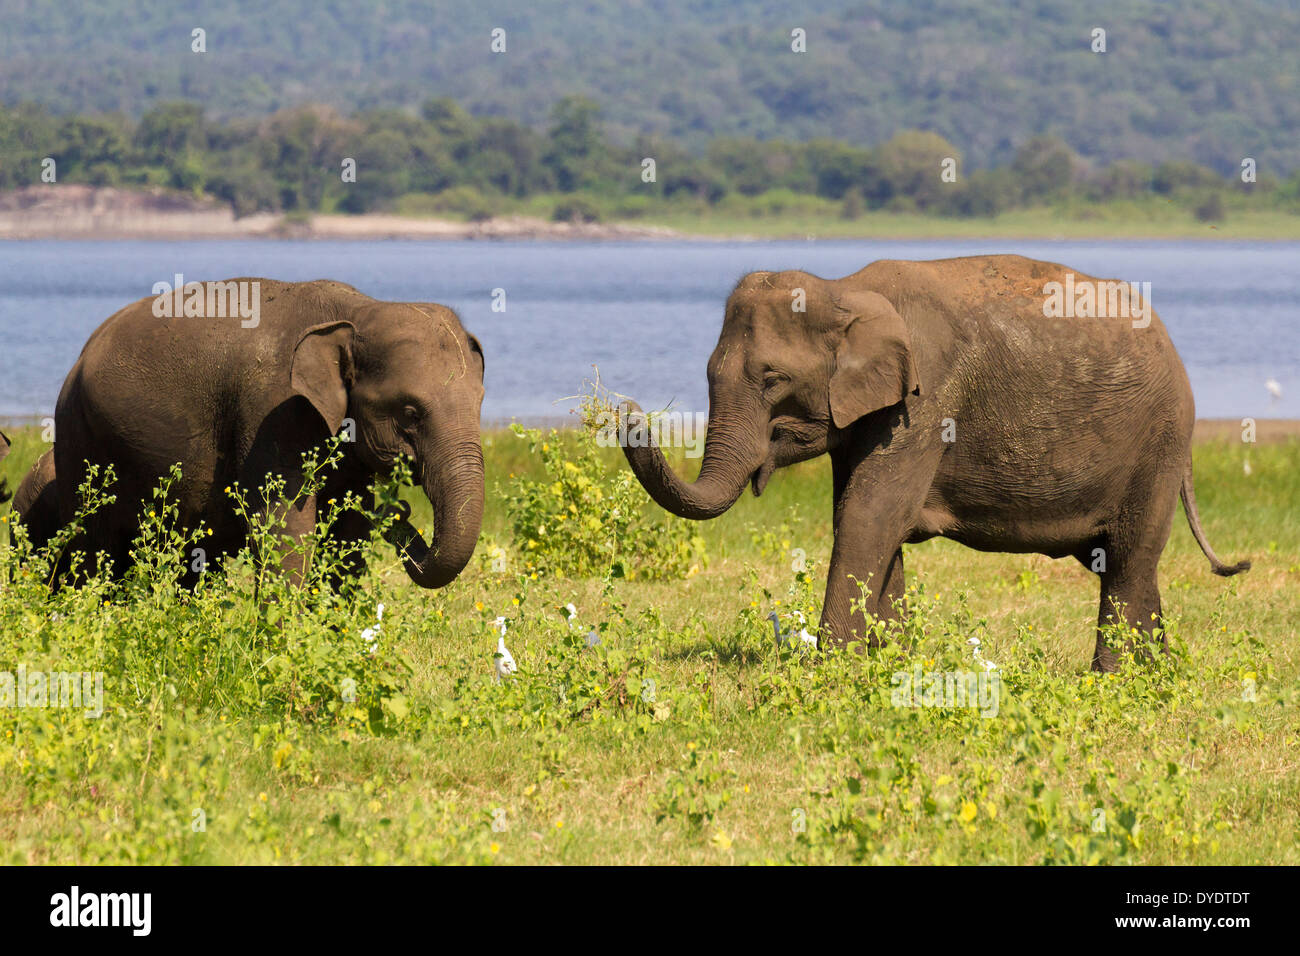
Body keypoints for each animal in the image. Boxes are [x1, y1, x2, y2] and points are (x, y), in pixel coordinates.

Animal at [44, 277, 485, 588]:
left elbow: (347, 530)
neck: (359, 310)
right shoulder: (273, 409)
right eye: (410, 412)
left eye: (481, 401)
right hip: (77, 433)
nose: (400, 510)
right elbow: (283, 524)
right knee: (93, 546)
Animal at [617, 255, 1249, 672]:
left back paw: (1110, 681)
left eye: (772, 378)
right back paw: (1157, 673)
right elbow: (866, 520)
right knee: (1122, 562)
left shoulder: (926, 403)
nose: (626, 409)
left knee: (1129, 559)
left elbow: (871, 517)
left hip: (1158, 442)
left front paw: (832, 671)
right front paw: (885, 664)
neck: (844, 290)